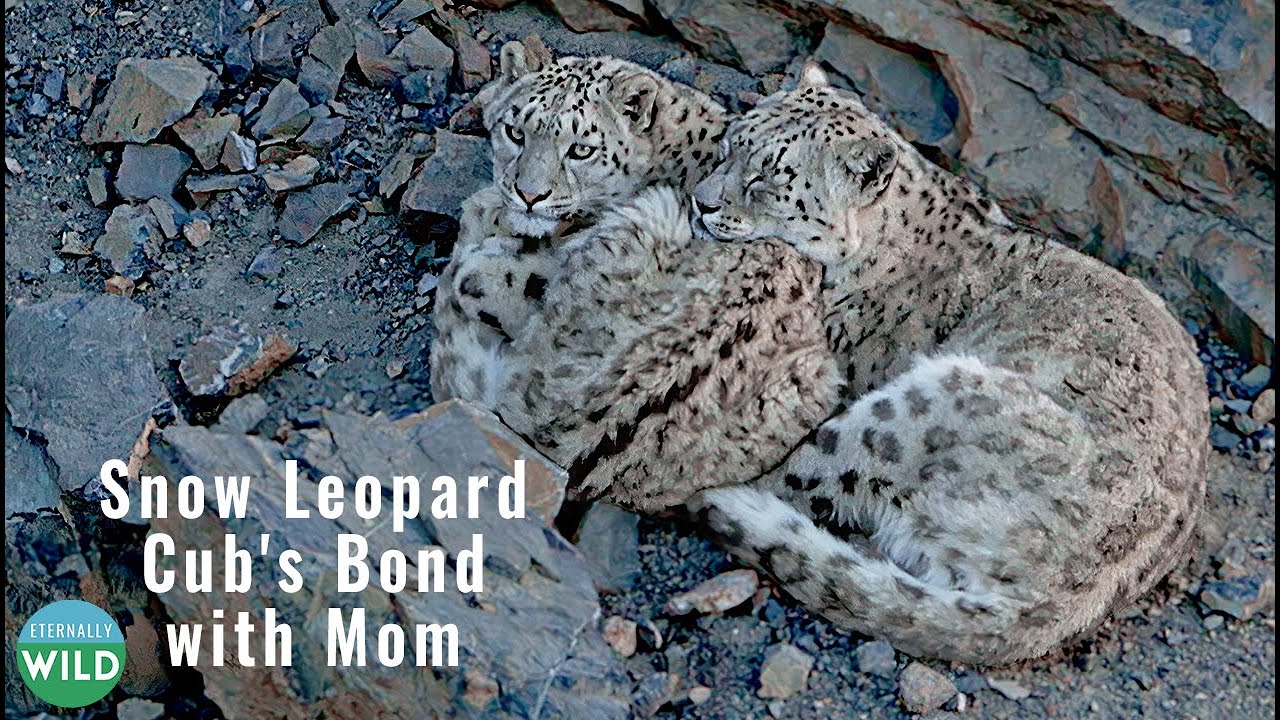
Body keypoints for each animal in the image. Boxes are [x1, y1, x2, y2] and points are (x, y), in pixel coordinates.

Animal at [685, 63, 1209, 666]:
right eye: (731, 144)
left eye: (770, 179)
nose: (700, 202)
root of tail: (1065, 599)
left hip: (912, 409)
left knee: (800, 479)